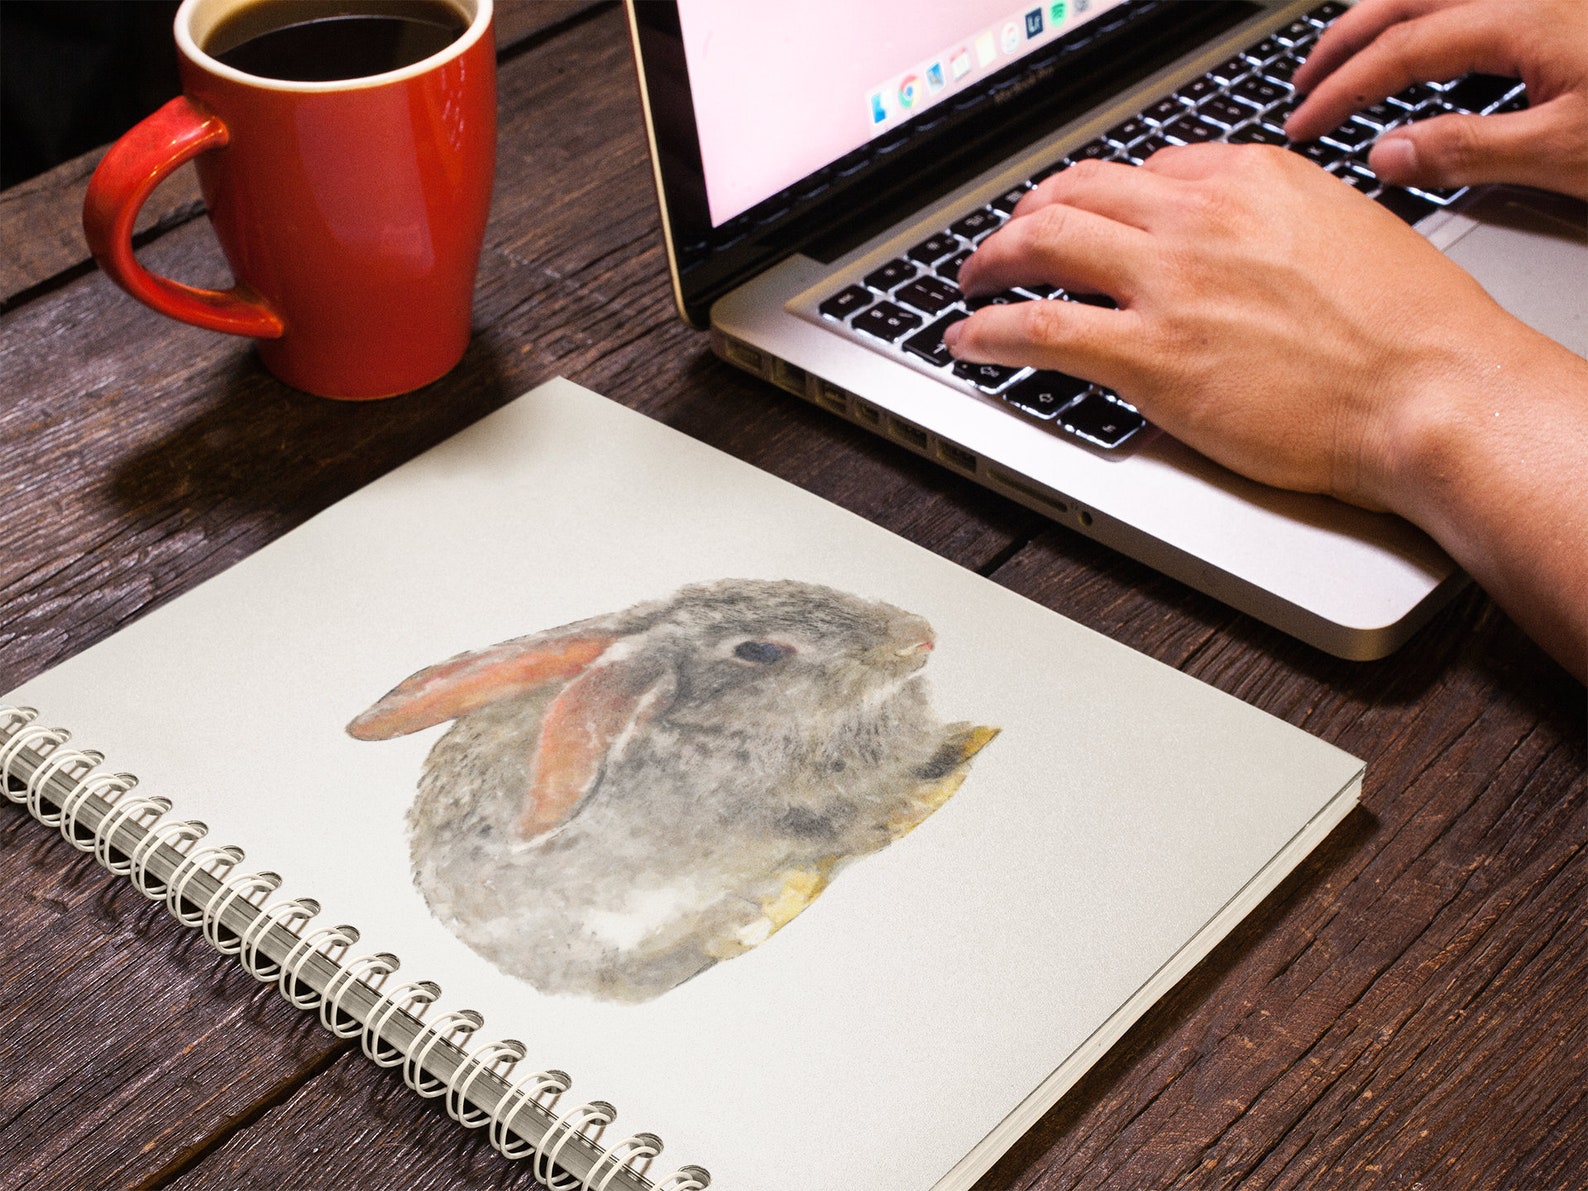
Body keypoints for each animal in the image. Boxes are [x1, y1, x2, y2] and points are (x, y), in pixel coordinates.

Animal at [347, 578, 998, 1003]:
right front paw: (915, 802)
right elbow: (855, 819)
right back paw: (755, 912)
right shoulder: (805, 815)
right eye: (761, 650)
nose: (921, 636)